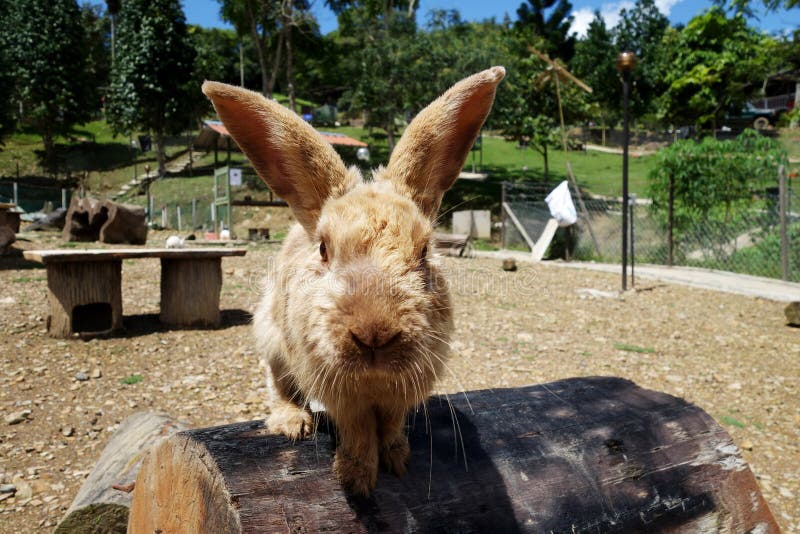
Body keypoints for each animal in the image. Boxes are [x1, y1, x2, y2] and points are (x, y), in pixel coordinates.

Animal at [202, 66, 505, 496]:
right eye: (324, 248)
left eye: (424, 250)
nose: (374, 334)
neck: (373, 379)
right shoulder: (340, 394)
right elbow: (357, 430)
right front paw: (356, 477)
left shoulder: (401, 395)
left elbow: (391, 425)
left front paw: (397, 459)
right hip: (271, 340)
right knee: (278, 385)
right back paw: (292, 423)